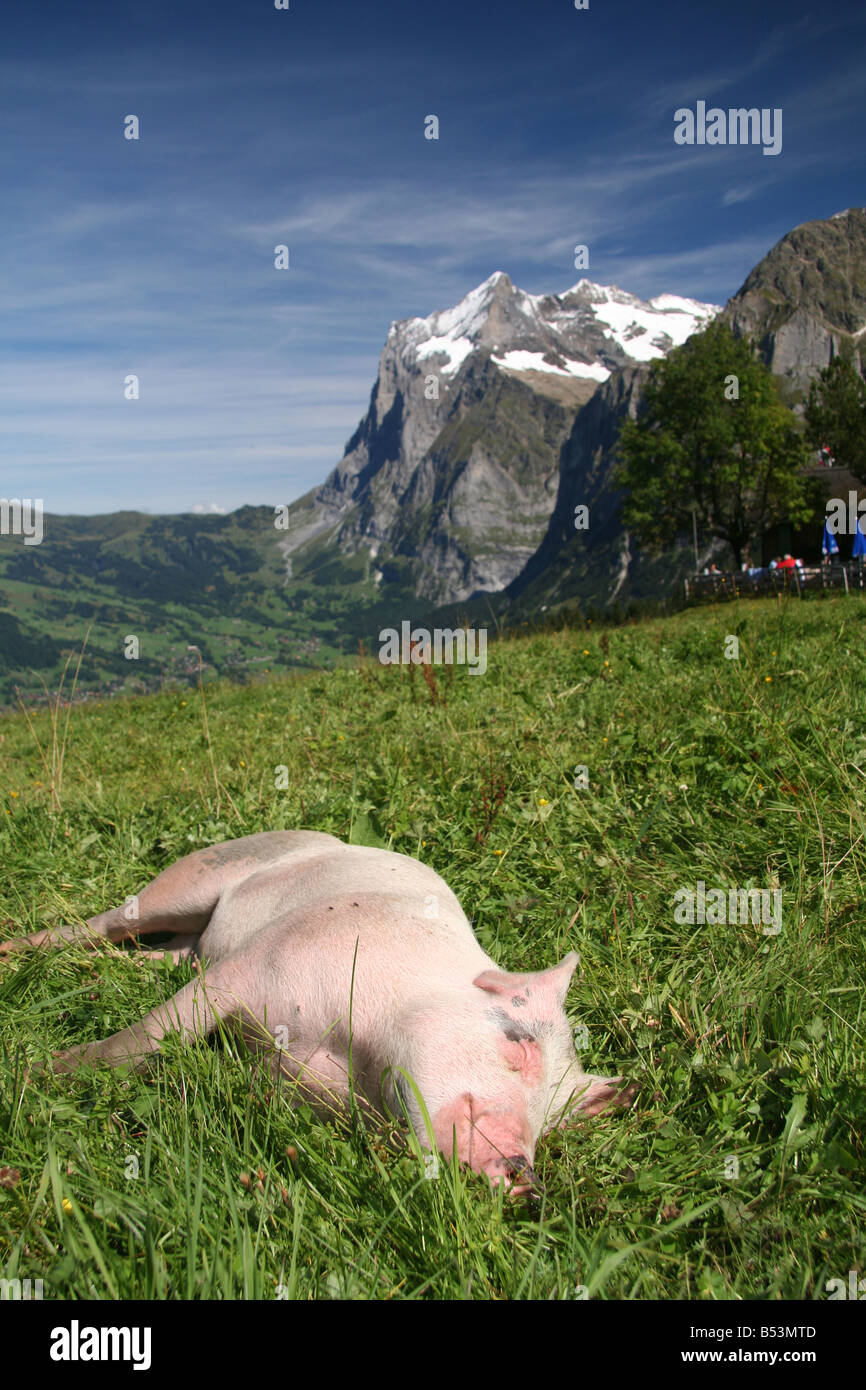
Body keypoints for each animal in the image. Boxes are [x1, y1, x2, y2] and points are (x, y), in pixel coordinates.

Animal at [0, 831, 635, 1194]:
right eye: (517, 1042)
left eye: (554, 1118)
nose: (525, 1177)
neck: (357, 1056)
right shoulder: (262, 959)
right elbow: (148, 1036)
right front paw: (40, 1073)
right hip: (198, 874)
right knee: (107, 922)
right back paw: (16, 952)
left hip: (184, 941)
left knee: (157, 954)